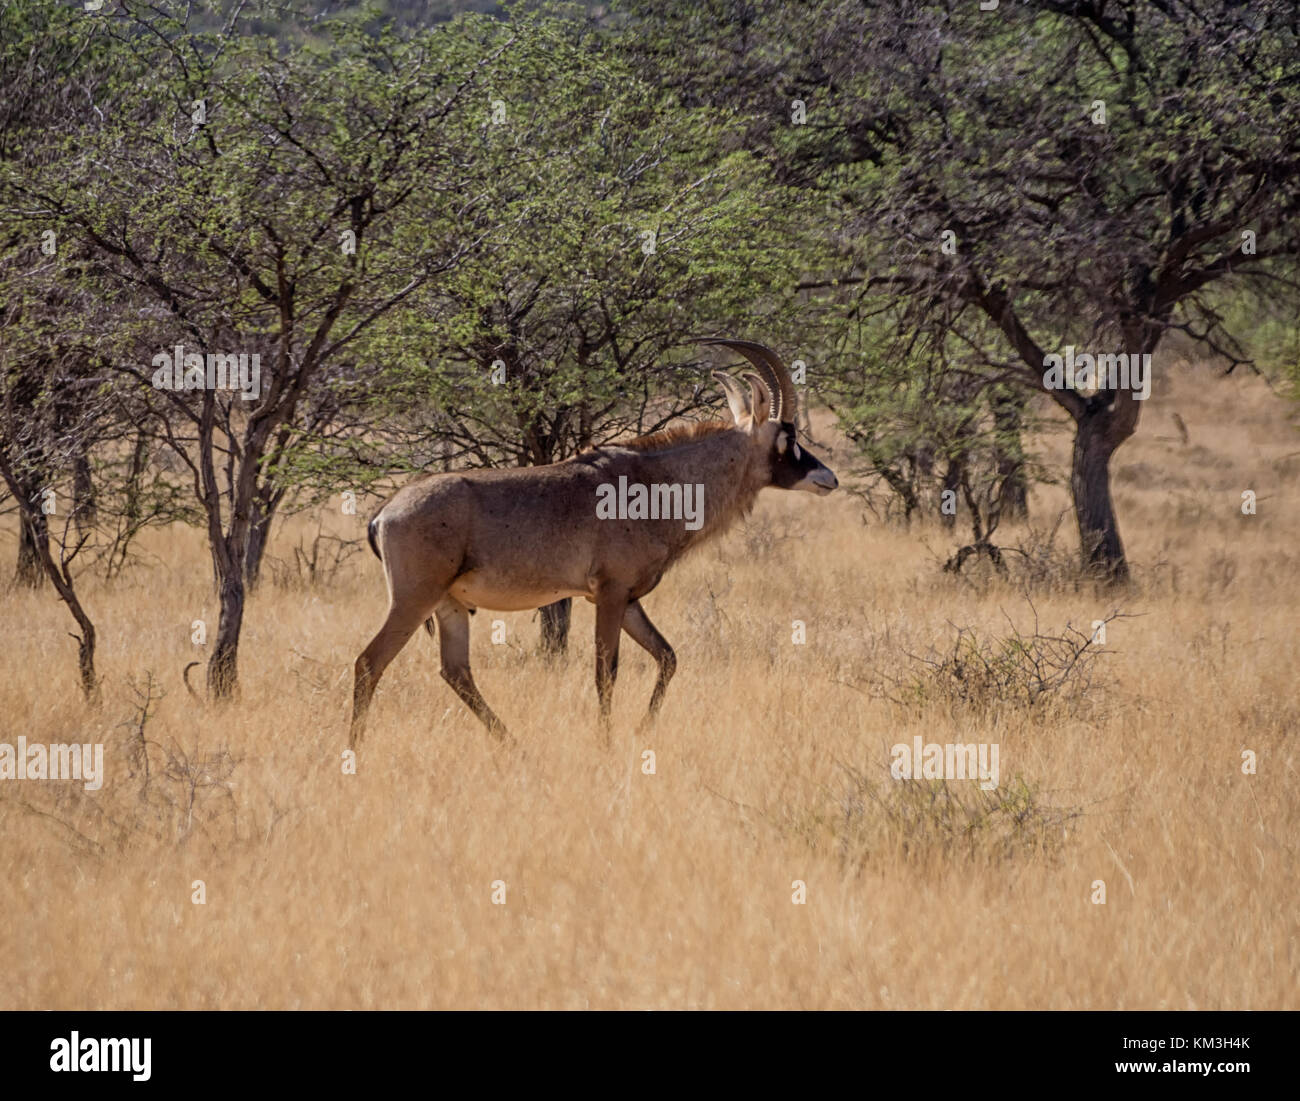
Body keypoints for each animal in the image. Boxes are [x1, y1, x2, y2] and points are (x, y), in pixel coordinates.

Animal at [349, 339, 837, 747]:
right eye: (788, 437)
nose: (828, 478)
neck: (656, 483)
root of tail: (385, 512)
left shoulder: (627, 598)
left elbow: (668, 657)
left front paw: (641, 729)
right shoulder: (609, 592)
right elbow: (607, 671)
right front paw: (605, 742)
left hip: (449, 605)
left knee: (456, 672)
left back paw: (515, 746)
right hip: (414, 599)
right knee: (370, 662)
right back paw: (355, 750)